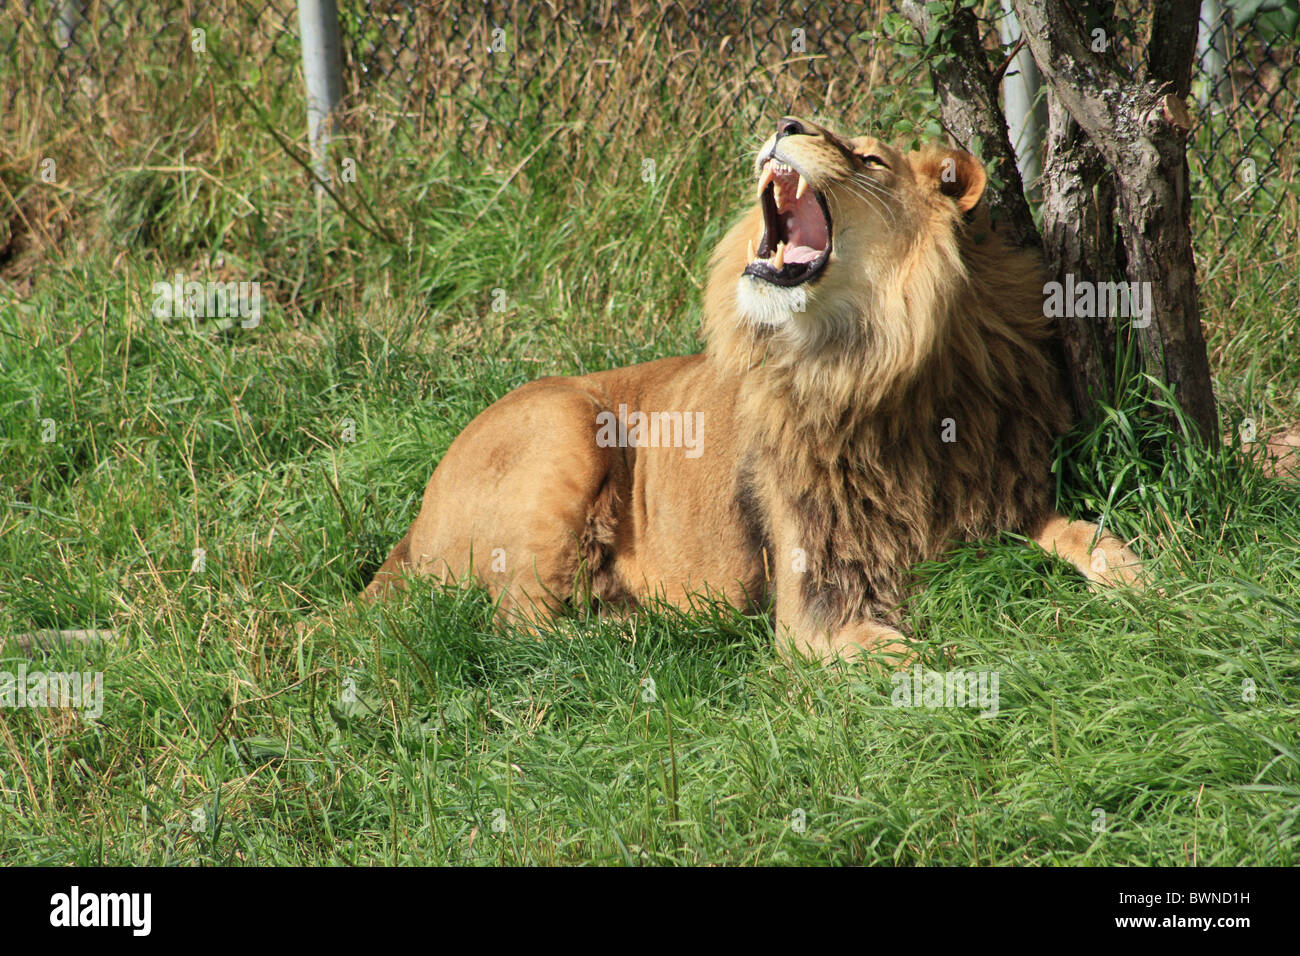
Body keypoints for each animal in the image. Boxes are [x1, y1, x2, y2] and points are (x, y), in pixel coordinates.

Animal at [362, 116, 1144, 662]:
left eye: (869, 159)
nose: (785, 123)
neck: (869, 367)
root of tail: (409, 532)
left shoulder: (1003, 506)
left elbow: (1088, 533)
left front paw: (1146, 585)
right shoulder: (814, 600)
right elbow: (909, 656)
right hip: (565, 423)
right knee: (517, 631)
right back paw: (654, 636)